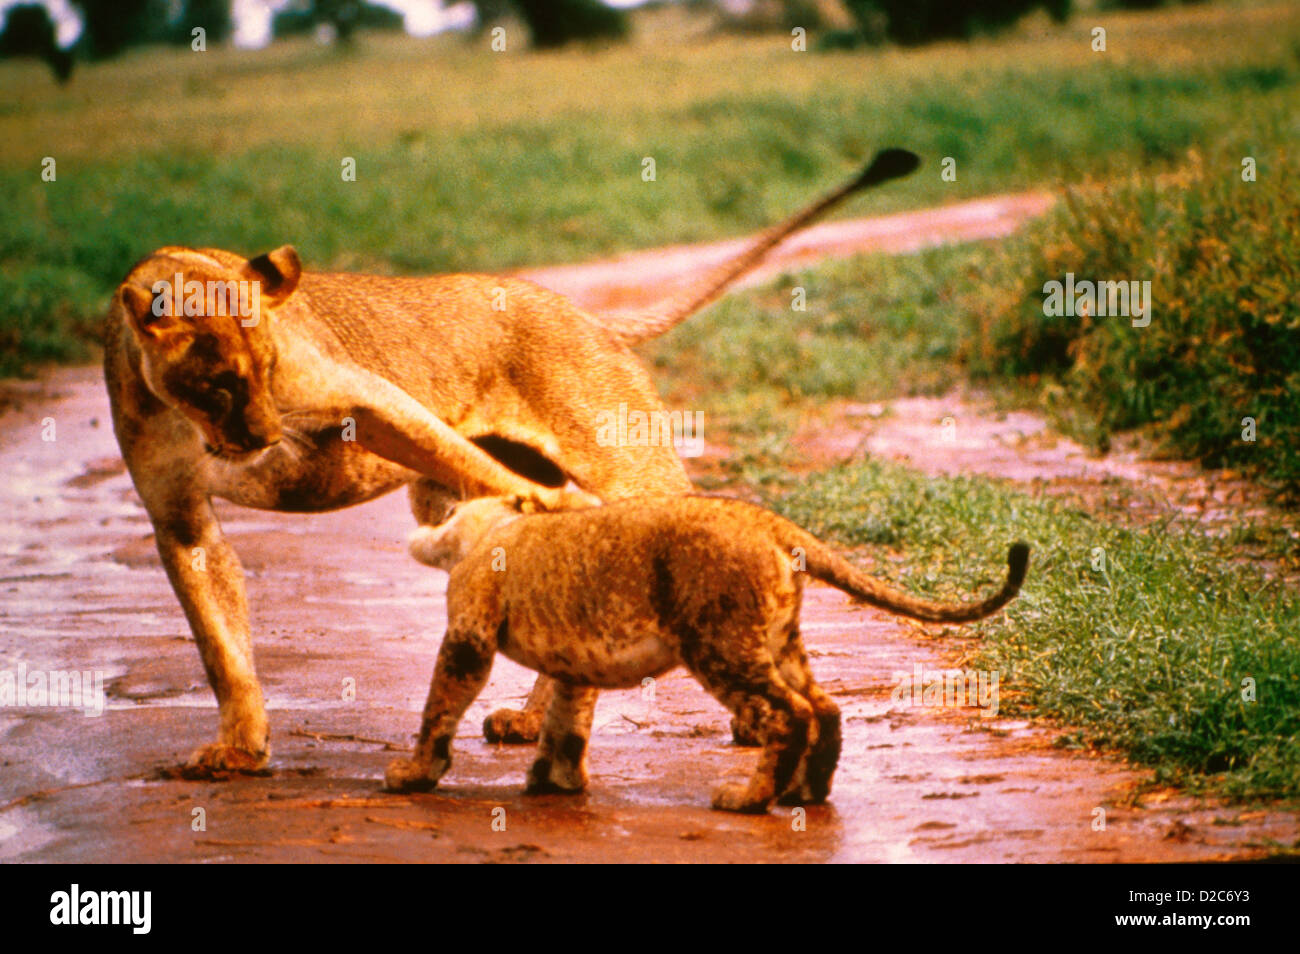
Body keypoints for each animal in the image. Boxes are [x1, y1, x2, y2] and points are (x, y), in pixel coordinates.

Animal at [103, 148, 920, 776]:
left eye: (270, 369)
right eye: (219, 382)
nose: (269, 437)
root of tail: (589, 317)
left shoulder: (368, 397)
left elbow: (474, 464)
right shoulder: (179, 516)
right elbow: (220, 644)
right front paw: (238, 751)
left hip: (626, 466)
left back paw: (751, 717)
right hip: (442, 499)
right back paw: (534, 719)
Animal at [384, 495, 1028, 813]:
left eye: (449, 509)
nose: (433, 514)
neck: (497, 527)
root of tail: (771, 520)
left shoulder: (469, 633)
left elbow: (439, 708)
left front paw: (415, 774)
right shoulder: (574, 664)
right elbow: (566, 723)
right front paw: (556, 782)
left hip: (718, 645)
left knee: (788, 714)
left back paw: (748, 800)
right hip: (775, 640)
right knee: (825, 707)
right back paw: (807, 793)